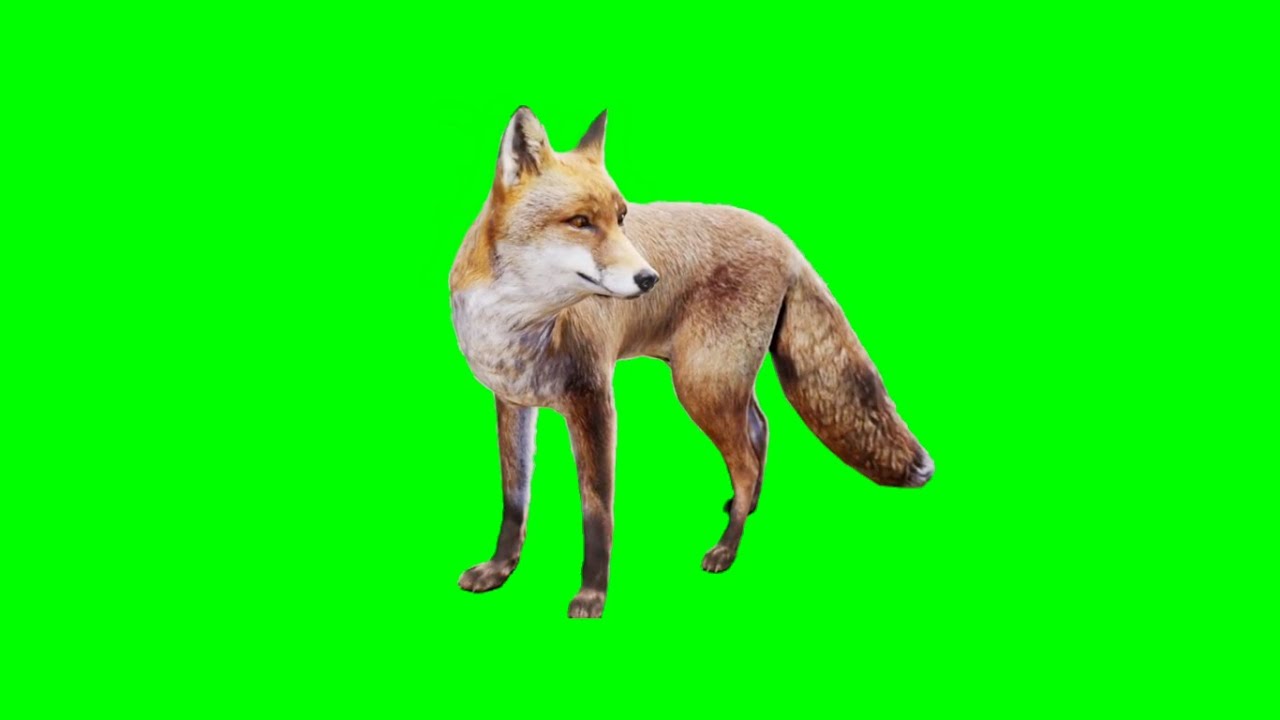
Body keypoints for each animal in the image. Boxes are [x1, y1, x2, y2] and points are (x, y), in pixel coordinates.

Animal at [450, 107, 934, 618]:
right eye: (580, 222)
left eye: (622, 218)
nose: (649, 279)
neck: (518, 324)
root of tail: (782, 237)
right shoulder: (511, 400)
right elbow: (514, 499)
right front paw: (499, 569)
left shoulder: (594, 401)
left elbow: (596, 511)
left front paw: (592, 596)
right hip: (716, 381)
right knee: (760, 428)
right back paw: (747, 505)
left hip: (701, 384)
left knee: (745, 457)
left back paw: (728, 546)